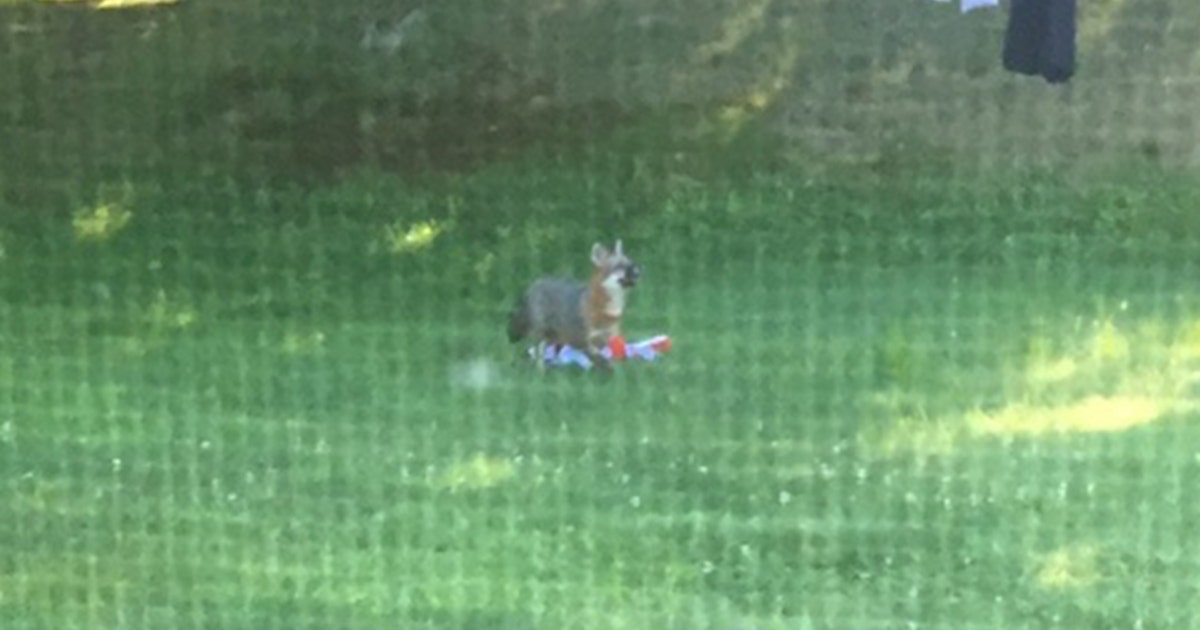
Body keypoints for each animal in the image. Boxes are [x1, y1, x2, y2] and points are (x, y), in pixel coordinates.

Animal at [507, 240, 641, 374]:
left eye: (630, 263)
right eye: (619, 266)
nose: (638, 271)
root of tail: (535, 283)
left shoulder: (610, 339)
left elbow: (614, 360)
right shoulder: (583, 342)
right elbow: (602, 361)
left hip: (556, 338)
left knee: (553, 355)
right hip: (543, 336)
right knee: (539, 355)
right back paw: (541, 373)